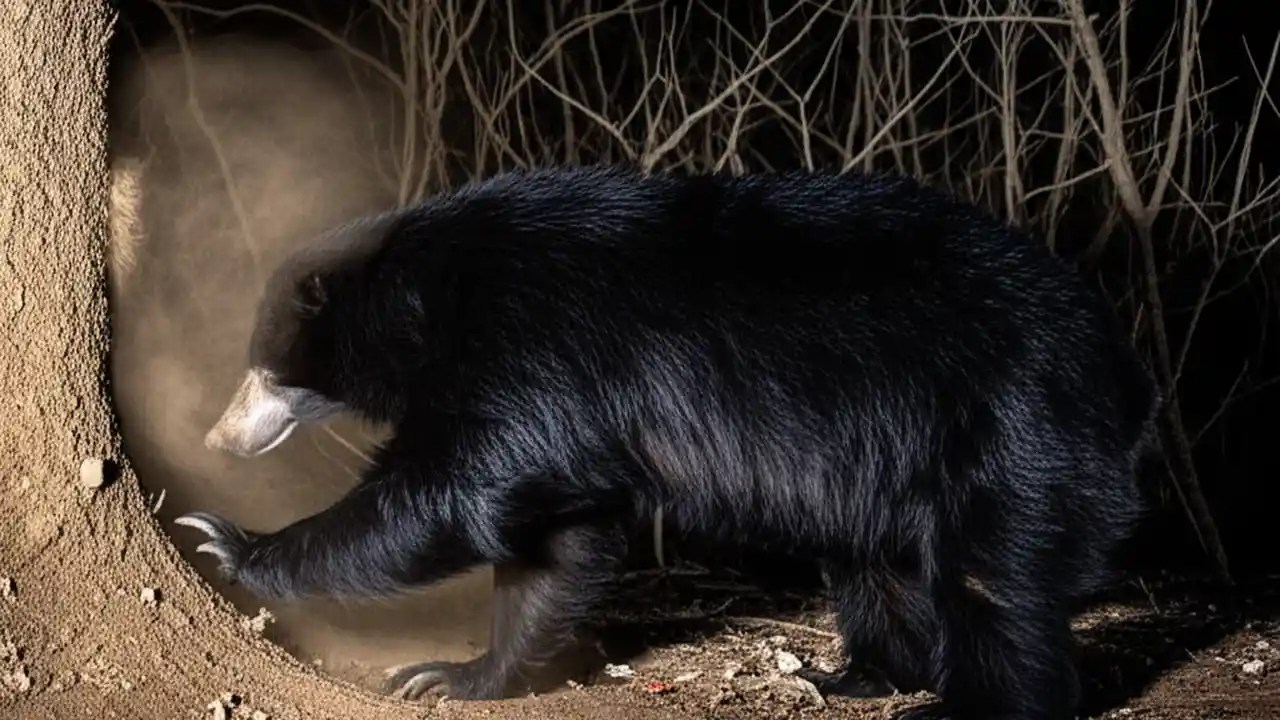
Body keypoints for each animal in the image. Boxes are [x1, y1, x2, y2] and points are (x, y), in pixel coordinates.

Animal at [176, 165, 1160, 720]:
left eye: (266, 367)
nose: (218, 438)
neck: (431, 292)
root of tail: (1127, 373)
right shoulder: (567, 407)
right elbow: (555, 539)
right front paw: (460, 675)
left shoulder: (533, 345)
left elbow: (457, 490)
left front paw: (229, 542)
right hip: (888, 462)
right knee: (879, 568)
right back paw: (859, 676)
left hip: (1004, 423)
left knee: (995, 578)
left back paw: (964, 705)